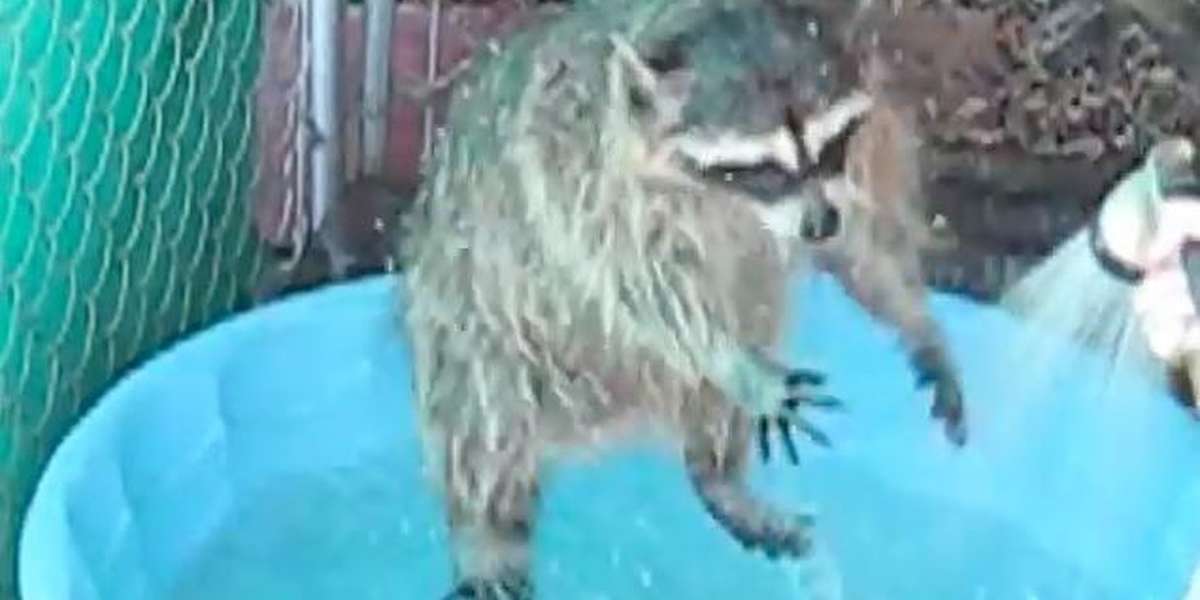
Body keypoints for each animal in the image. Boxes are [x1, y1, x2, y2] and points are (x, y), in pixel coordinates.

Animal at [398, 1, 950, 597]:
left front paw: (919, 326)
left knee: (744, 329)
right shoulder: (587, 174)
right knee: (485, 409)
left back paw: (715, 470)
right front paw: (735, 363)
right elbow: (636, 282)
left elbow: (868, 243)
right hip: (466, 307)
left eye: (829, 147)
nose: (820, 224)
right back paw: (487, 534)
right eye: (762, 168)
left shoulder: (866, 147)